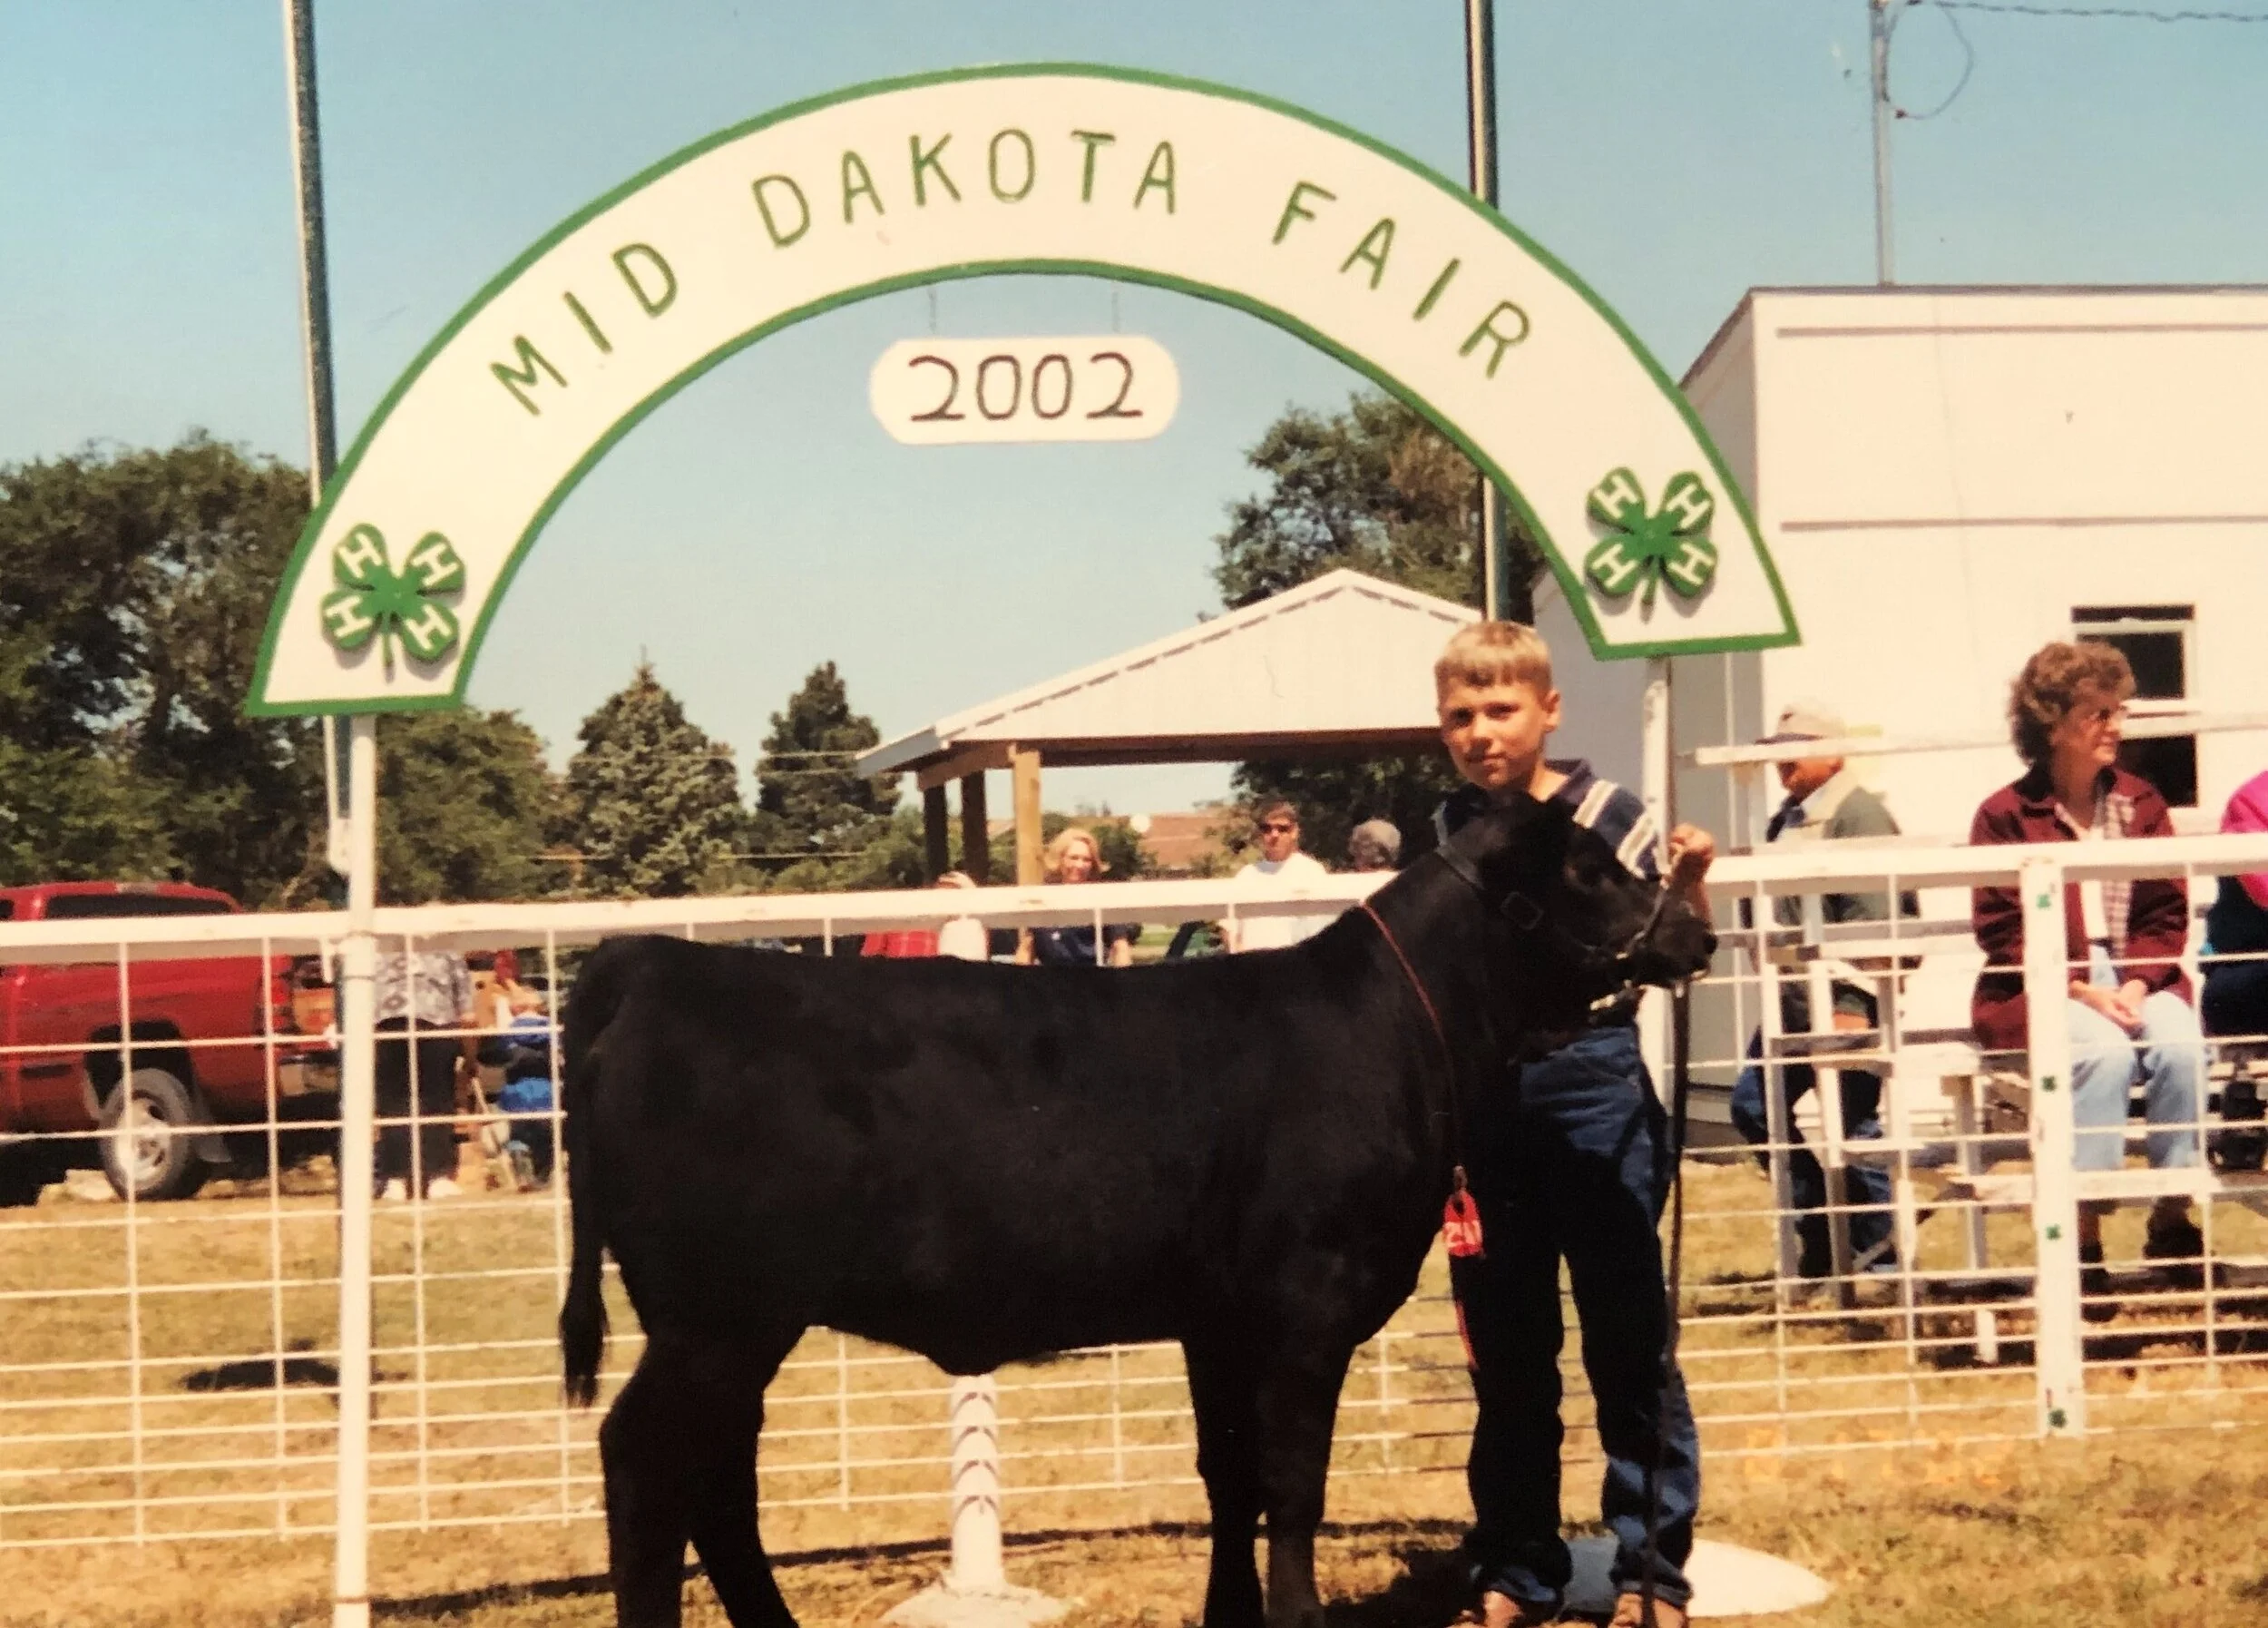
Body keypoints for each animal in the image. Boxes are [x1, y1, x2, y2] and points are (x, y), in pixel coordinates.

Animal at [558, 795, 1716, 1628]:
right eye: (1587, 868)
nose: (1694, 931)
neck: (1396, 1029)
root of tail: (652, 960)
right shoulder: (1307, 1310)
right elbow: (1292, 1486)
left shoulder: (1220, 1319)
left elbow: (1230, 1479)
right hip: (720, 1319)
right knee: (645, 1463)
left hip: (729, 1325)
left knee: (717, 1479)